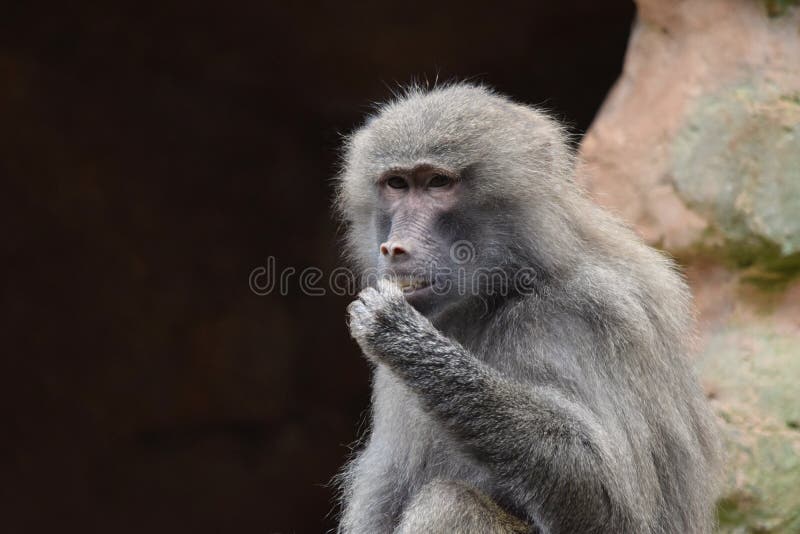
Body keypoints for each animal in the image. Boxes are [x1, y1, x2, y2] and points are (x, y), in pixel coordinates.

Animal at [334, 83, 721, 533]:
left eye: (437, 183)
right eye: (396, 184)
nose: (394, 248)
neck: (507, 289)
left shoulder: (584, 314)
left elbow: (610, 503)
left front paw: (408, 343)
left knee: (450, 503)